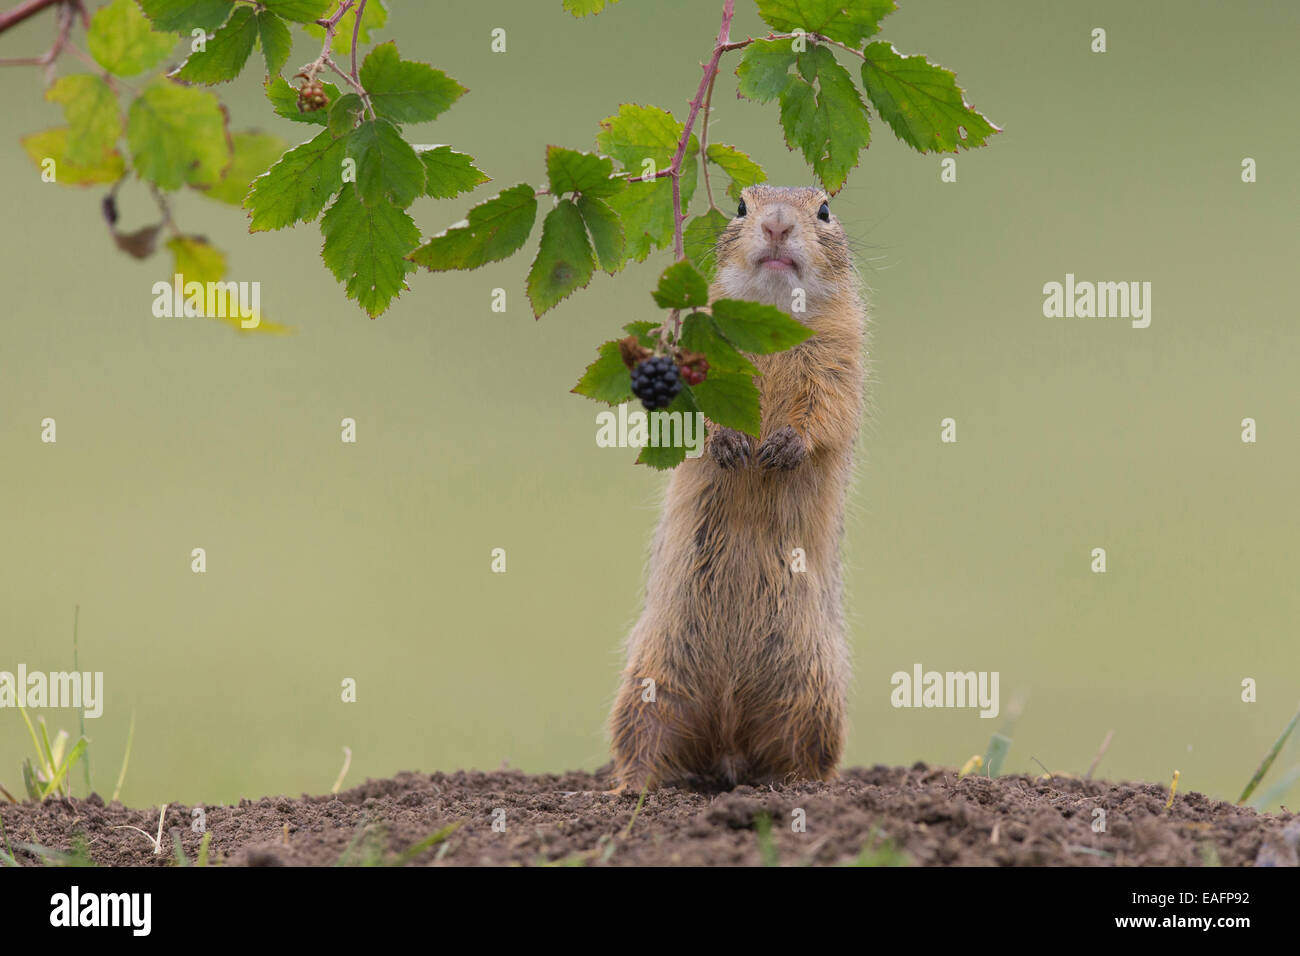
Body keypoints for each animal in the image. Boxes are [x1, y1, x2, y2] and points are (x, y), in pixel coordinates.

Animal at [609, 185, 867, 790]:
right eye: (742, 207)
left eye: (824, 209)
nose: (776, 226)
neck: (768, 320)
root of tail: (729, 740)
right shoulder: (694, 354)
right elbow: (691, 417)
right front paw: (729, 443)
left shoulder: (841, 355)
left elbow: (827, 409)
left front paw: (783, 447)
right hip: (648, 683)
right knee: (642, 744)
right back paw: (630, 789)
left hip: (815, 693)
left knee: (804, 755)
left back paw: (802, 786)